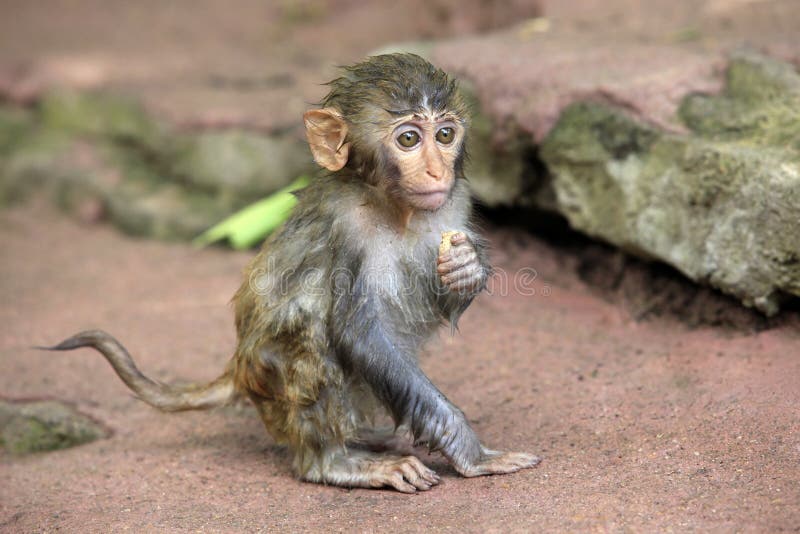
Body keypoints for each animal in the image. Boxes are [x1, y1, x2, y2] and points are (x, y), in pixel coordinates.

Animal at [45, 53, 540, 493]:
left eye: (445, 133)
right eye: (408, 140)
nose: (437, 170)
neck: (391, 207)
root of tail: (238, 365)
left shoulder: (452, 205)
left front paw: (465, 266)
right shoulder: (347, 227)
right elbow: (361, 335)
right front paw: (470, 452)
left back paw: (367, 436)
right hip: (269, 381)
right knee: (309, 324)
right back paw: (335, 461)